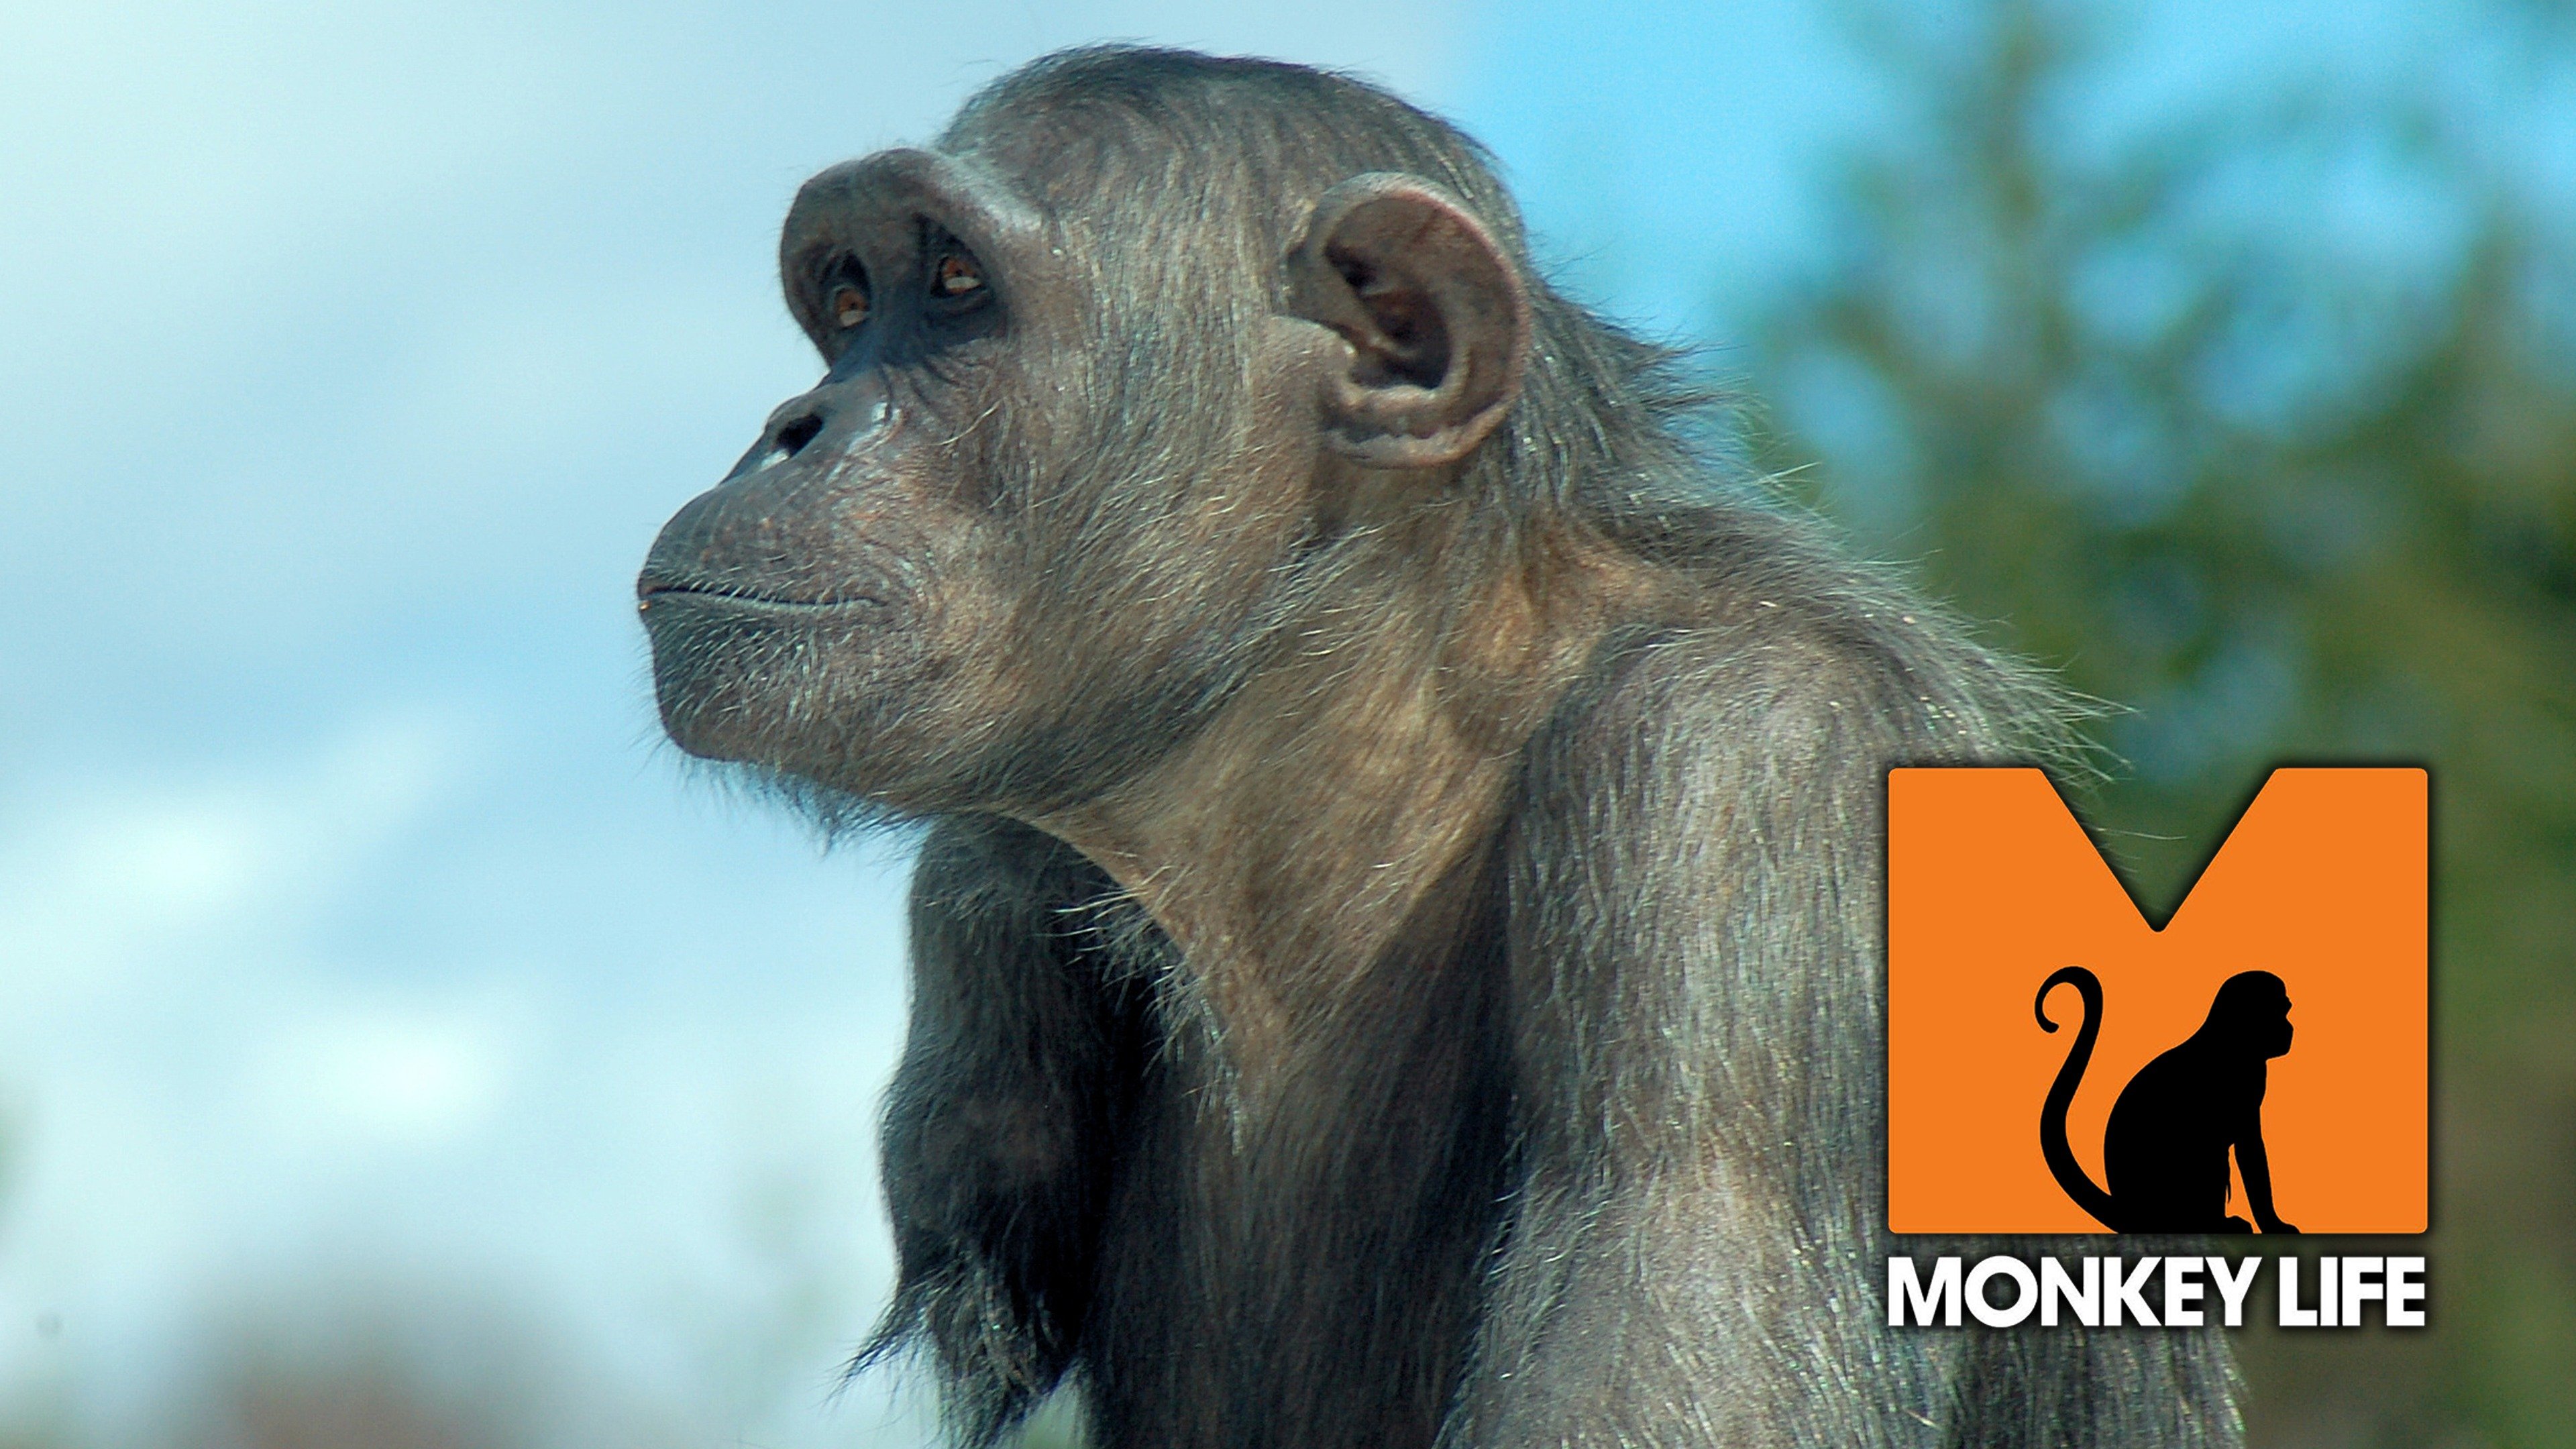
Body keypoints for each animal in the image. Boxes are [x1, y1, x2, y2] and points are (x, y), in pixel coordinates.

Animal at [2037, 966, 2301, 1235]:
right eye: (2281, 1012)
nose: (2289, 1027)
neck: (2231, 1043)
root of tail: (2128, 1211)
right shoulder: (2245, 1079)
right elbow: (2249, 1149)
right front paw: (2272, 1224)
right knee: (2207, 1151)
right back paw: (2213, 1223)